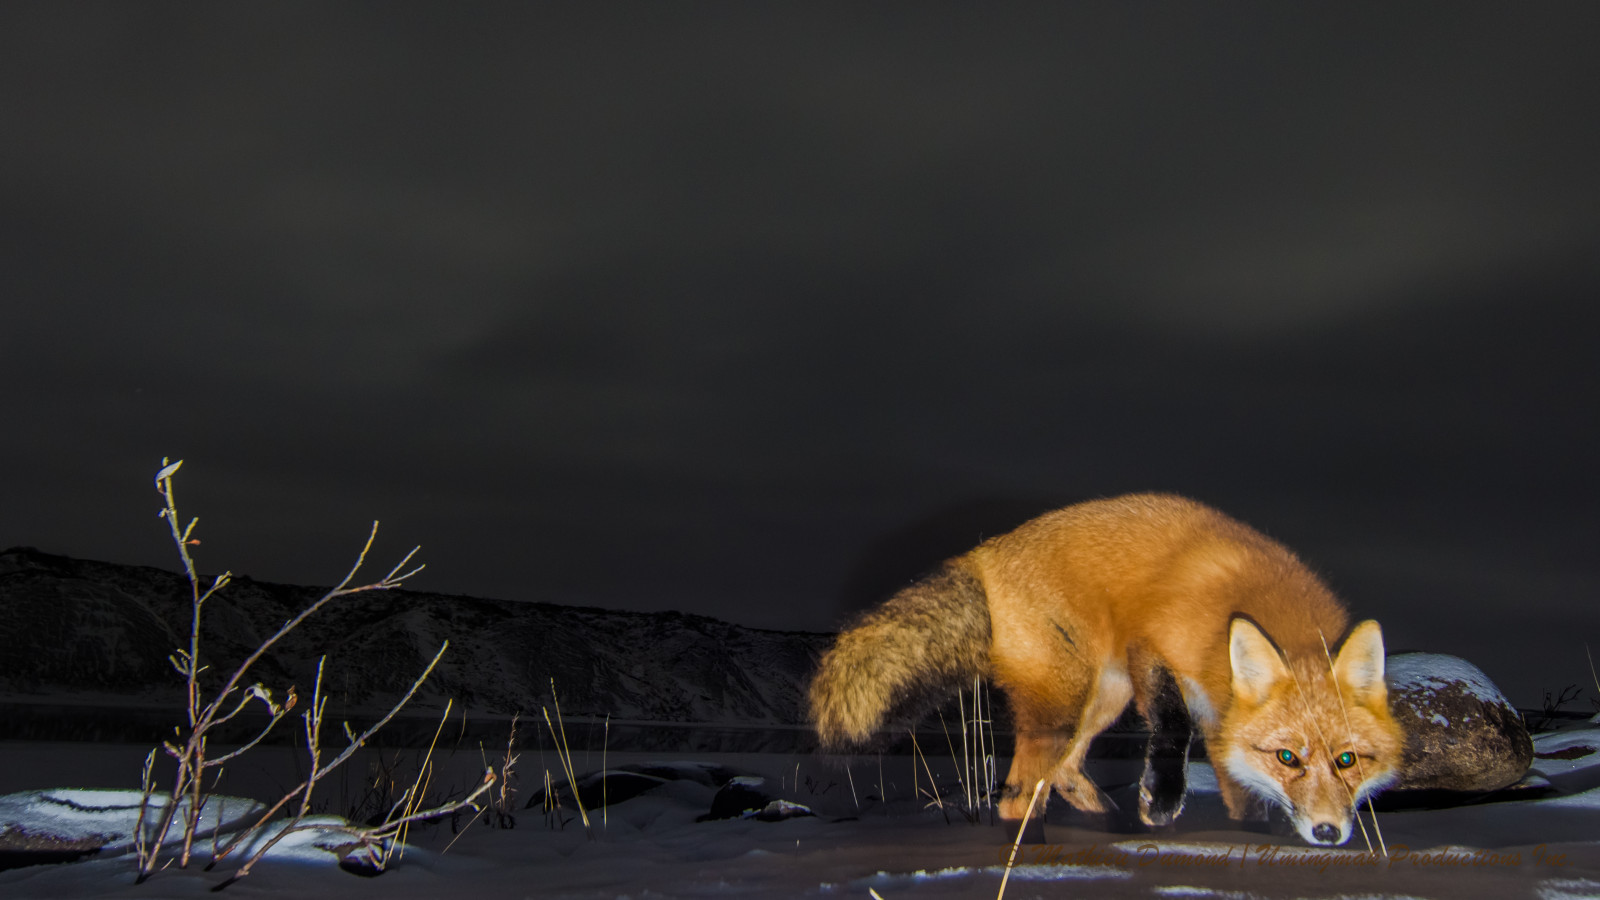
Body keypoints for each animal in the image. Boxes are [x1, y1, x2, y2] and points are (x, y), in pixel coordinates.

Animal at [809, 493, 1404, 846]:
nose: (1327, 833)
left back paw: (1108, 826)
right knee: (1020, 797)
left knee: (1066, 772)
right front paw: (1162, 799)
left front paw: (1247, 836)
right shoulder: (1153, 645)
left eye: (1348, 760)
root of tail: (985, 553)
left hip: (1104, 696)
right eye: (1288, 758)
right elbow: (1172, 725)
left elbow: (1241, 793)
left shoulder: (1224, 721)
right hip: (1068, 700)